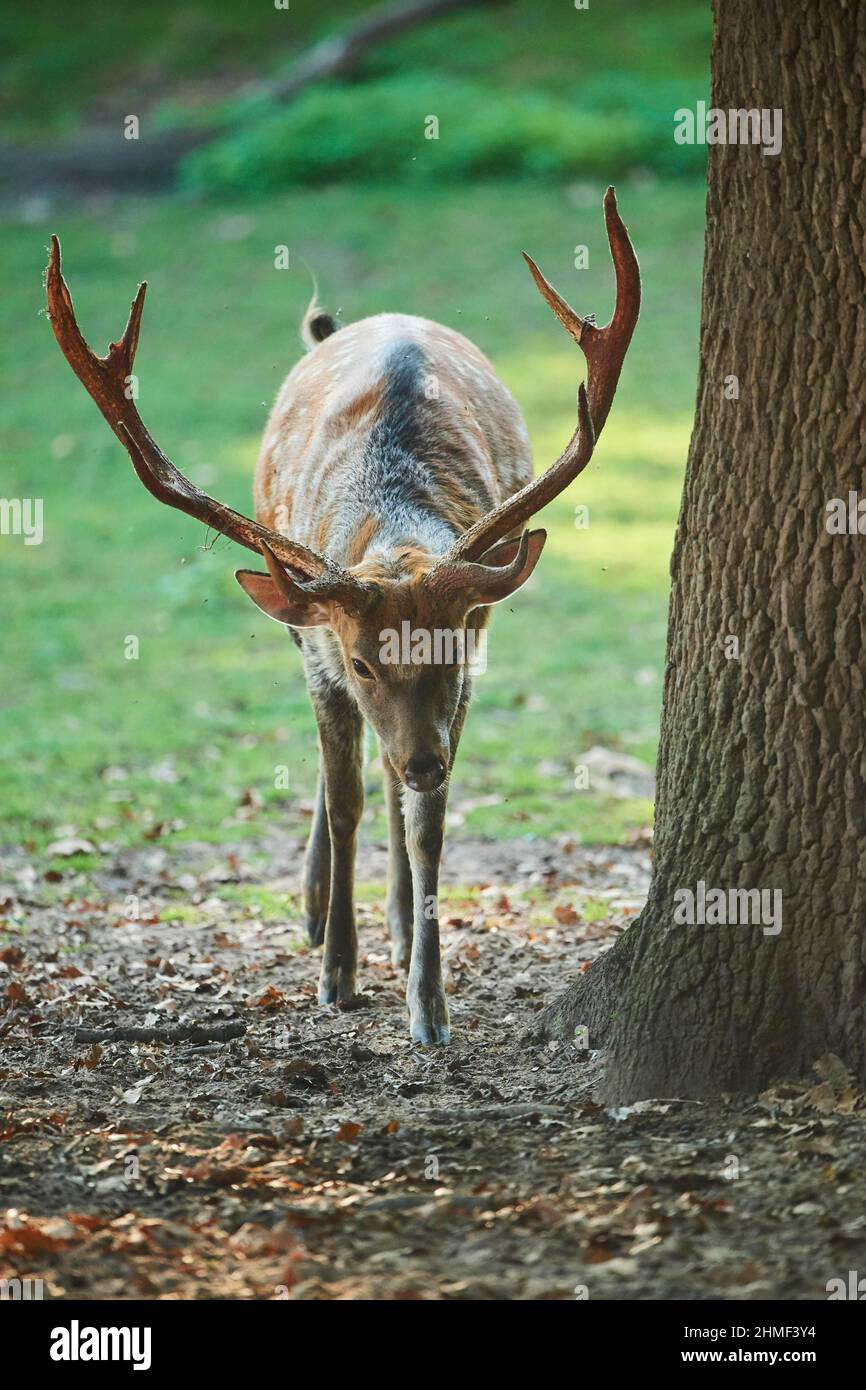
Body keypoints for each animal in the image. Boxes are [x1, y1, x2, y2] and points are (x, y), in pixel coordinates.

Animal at [45, 188, 639, 1045]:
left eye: (449, 650)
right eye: (364, 660)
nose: (426, 762)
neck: (391, 530)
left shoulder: (471, 664)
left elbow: (426, 826)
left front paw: (428, 1003)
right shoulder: (328, 660)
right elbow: (347, 797)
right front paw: (337, 976)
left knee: (387, 782)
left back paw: (394, 913)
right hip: (298, 626)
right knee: (347, 776)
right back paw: (319, 905)